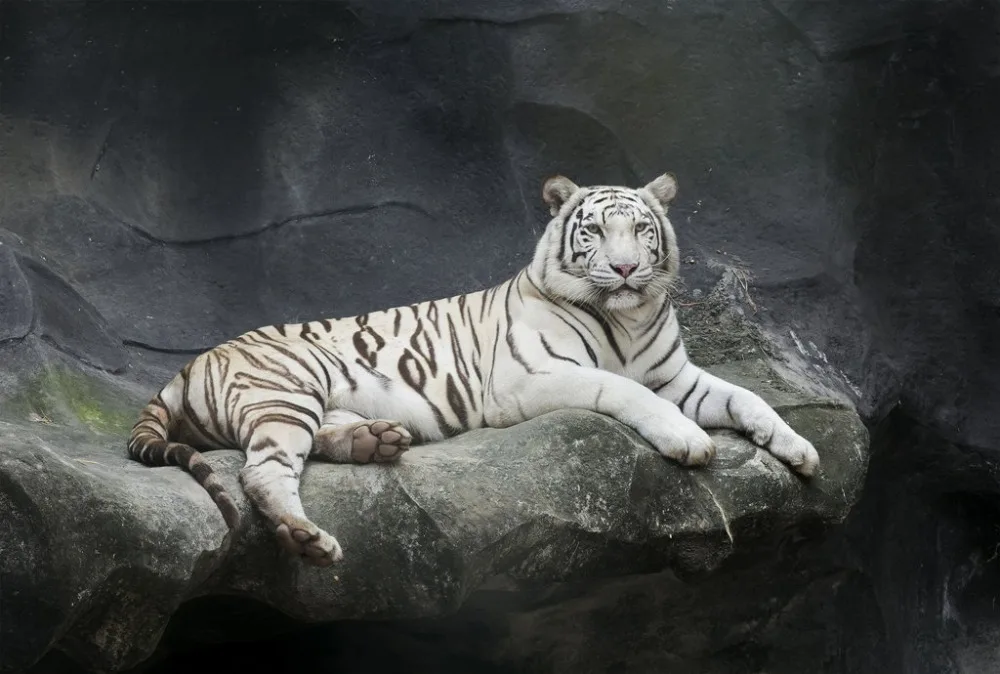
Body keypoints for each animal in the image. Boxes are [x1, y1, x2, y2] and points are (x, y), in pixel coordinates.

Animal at [128, 172, 820, 568]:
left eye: (642, 231)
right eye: (595, 231)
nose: (626, 270)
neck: (627, 317)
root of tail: (186, 368)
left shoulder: (678, 376)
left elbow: (747, 398)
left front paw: (801, 450)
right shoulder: (532, 379)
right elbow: (622, 389)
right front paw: (689, 440)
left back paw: (376, 441)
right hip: (286, 390)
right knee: (262, 471)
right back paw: (307, 538)